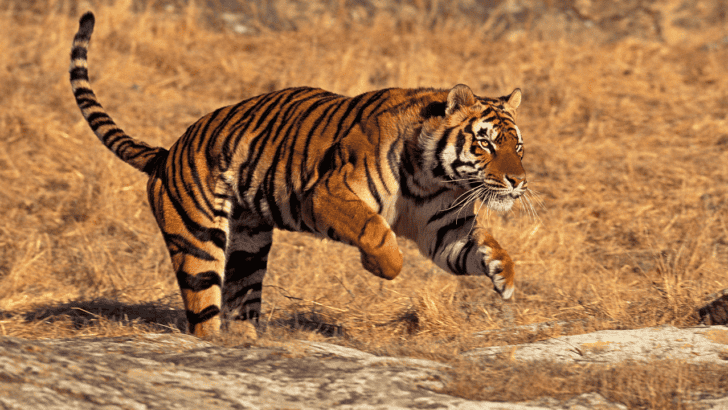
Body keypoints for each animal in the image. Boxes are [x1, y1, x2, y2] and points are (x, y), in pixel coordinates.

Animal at [69, 12, 528, 339]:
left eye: (517, 147)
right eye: (486, 143)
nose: (518, 182)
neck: (431, 177)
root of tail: (167, 153)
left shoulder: (441, 230)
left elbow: (482, 247)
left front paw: (504, 276)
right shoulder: (326, 193)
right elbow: (376, 231)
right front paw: (381, 266)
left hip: (249, 246)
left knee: (241, 299)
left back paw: (247, 342)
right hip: (198, 241)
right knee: (203, 311)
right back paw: (214, 345)